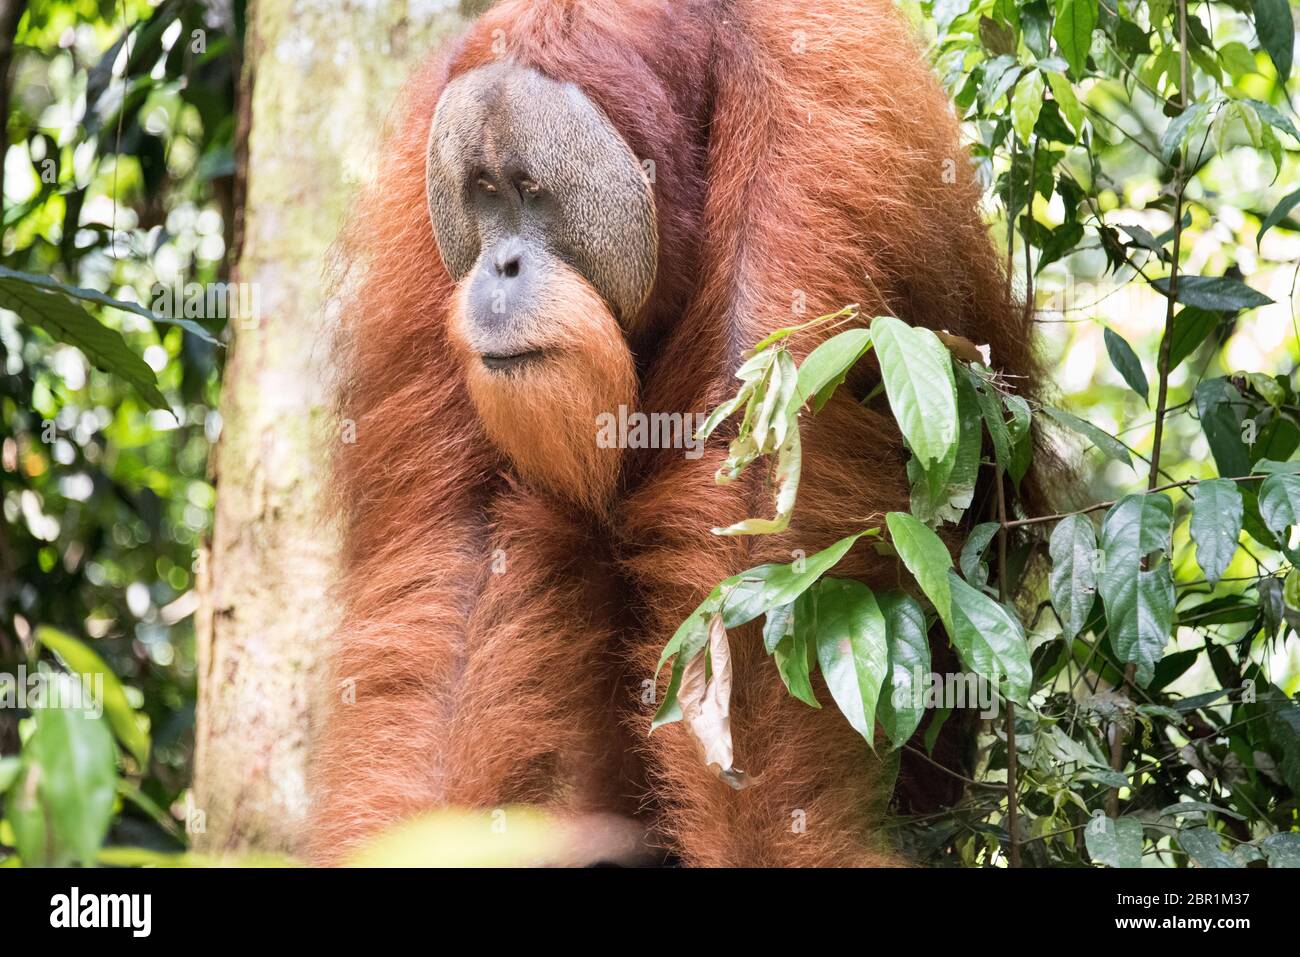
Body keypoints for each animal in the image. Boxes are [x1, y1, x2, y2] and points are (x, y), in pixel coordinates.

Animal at [311, 0, 1037, 866]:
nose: (499, 270)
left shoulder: (812, 144)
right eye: (483, 193)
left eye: (531, 191)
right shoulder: (423, 234)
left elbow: (757, 544)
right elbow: (457, 554)